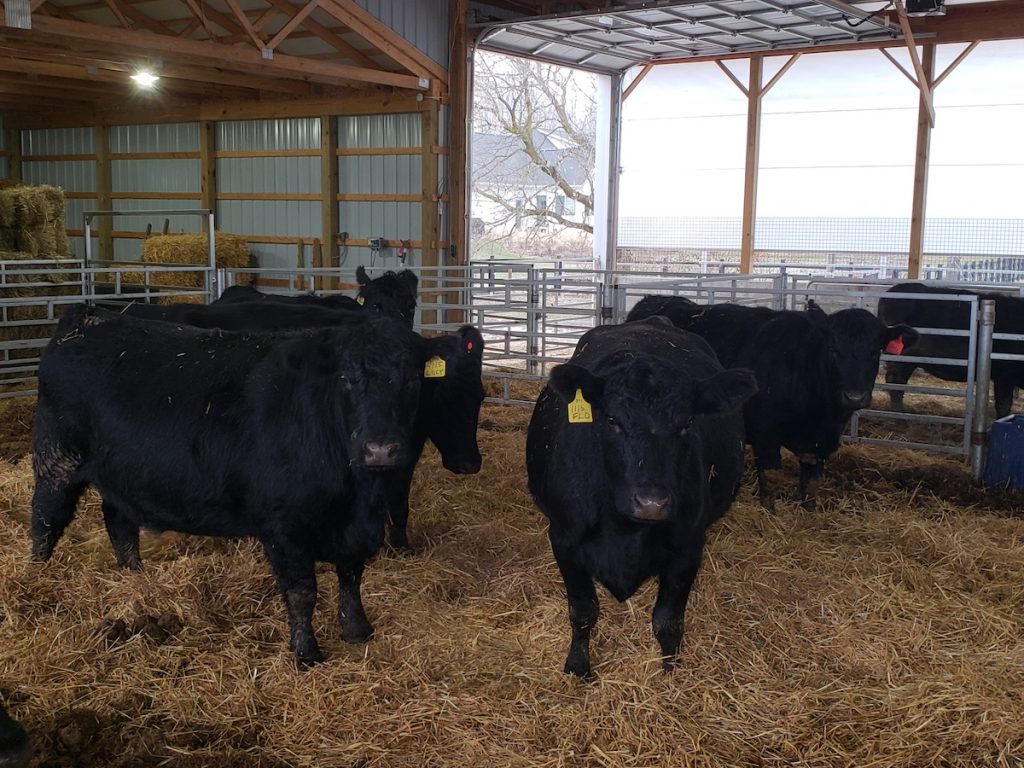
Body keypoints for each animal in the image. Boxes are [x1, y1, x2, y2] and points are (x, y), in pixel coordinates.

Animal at [526, 318, 757, 678]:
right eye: (611, 420)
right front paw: (577, 666)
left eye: (686, 423)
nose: (651, 502)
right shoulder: (564, 538)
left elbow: (667, 621)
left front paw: (671, 674)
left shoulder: (689, 545)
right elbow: (583, 611)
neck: (625, 532)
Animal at [627, 296, 917, 512]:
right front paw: (770, 512)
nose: (854, 396)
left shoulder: (821, 442)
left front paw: (810, 514)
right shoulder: (765, 433)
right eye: (833, 350)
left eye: (874, 352)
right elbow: (771, 476)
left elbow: (811, 482)